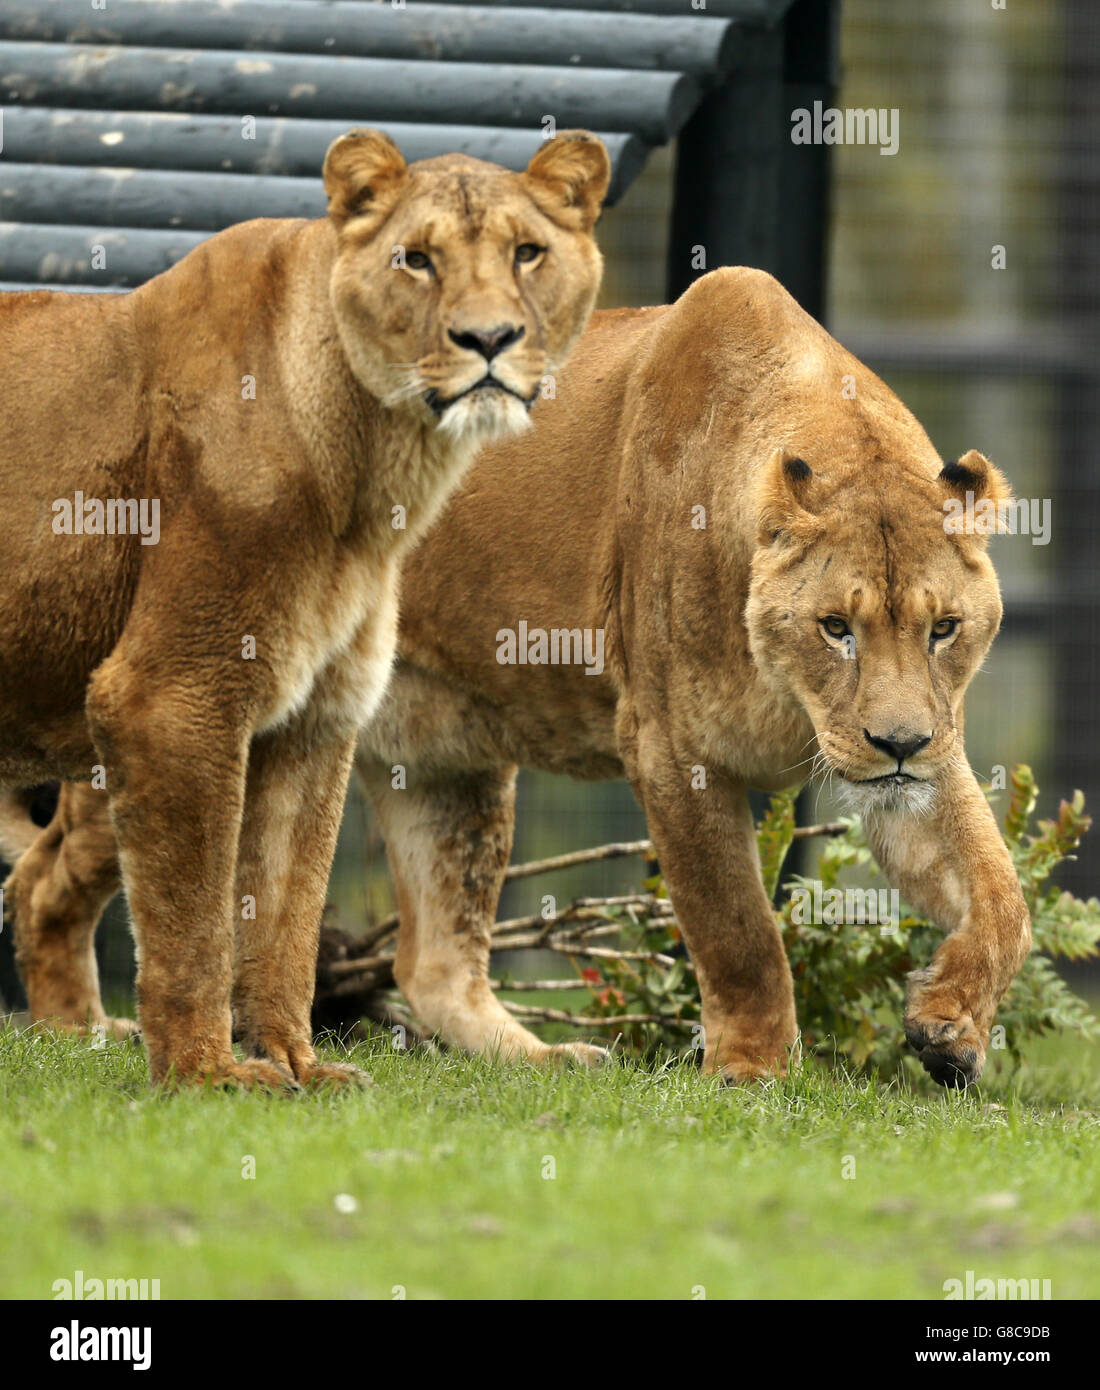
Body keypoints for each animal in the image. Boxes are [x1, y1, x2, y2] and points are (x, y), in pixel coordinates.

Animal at [0, 127, 610, 1087]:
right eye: (416, 259)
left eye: (527, 253)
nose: (488, 339)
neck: (378, 468)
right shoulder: (169, 698)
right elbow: (195, 915)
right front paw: (206, 1075)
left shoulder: (315, 715)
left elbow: (285, 910)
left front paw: (297, 1064)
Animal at [1, 266, 1030, 1088]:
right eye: (836, 629)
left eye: (943, 628)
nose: (896, 743)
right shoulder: (670, 747)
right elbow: (739, 930)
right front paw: (755, 1071)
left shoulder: (924, 753)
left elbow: (1000, 895)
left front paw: (949, 1029)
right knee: (45, 881)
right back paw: (81, 1032)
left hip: (449, 767)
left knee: (433, 966)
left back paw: (543, 1057)